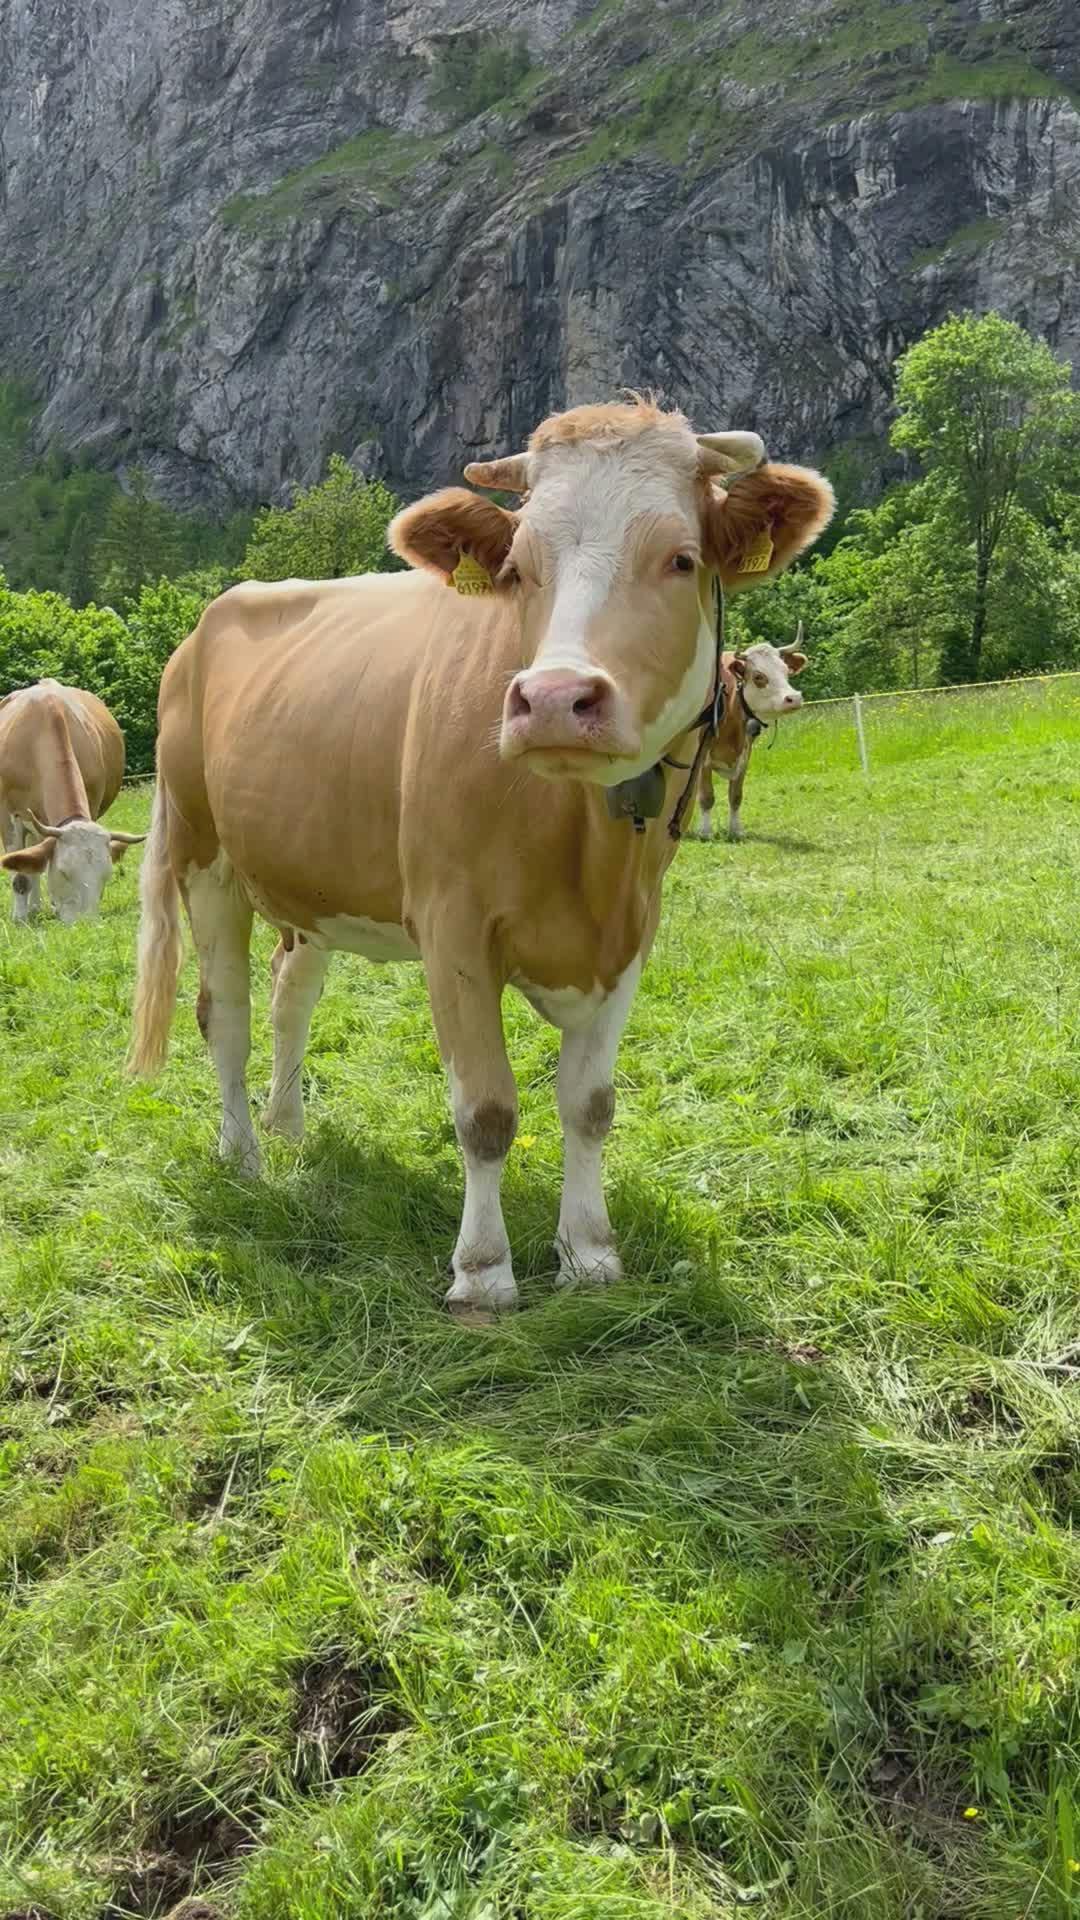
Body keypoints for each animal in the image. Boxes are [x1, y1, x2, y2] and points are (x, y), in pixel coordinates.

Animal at [0, 680, 145, 923]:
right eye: (64, 872)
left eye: (106, 875)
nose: (85, 924)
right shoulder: (8, 816)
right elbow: (20, 875)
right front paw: (19, 919)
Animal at [696, 638, 808, 843]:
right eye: (758, 676)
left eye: (786, 671)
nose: (794, 698)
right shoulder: (702, 758)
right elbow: (707, 796)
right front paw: (705, 832)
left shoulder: (745, 755)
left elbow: (736, 796)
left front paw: (736, 831)